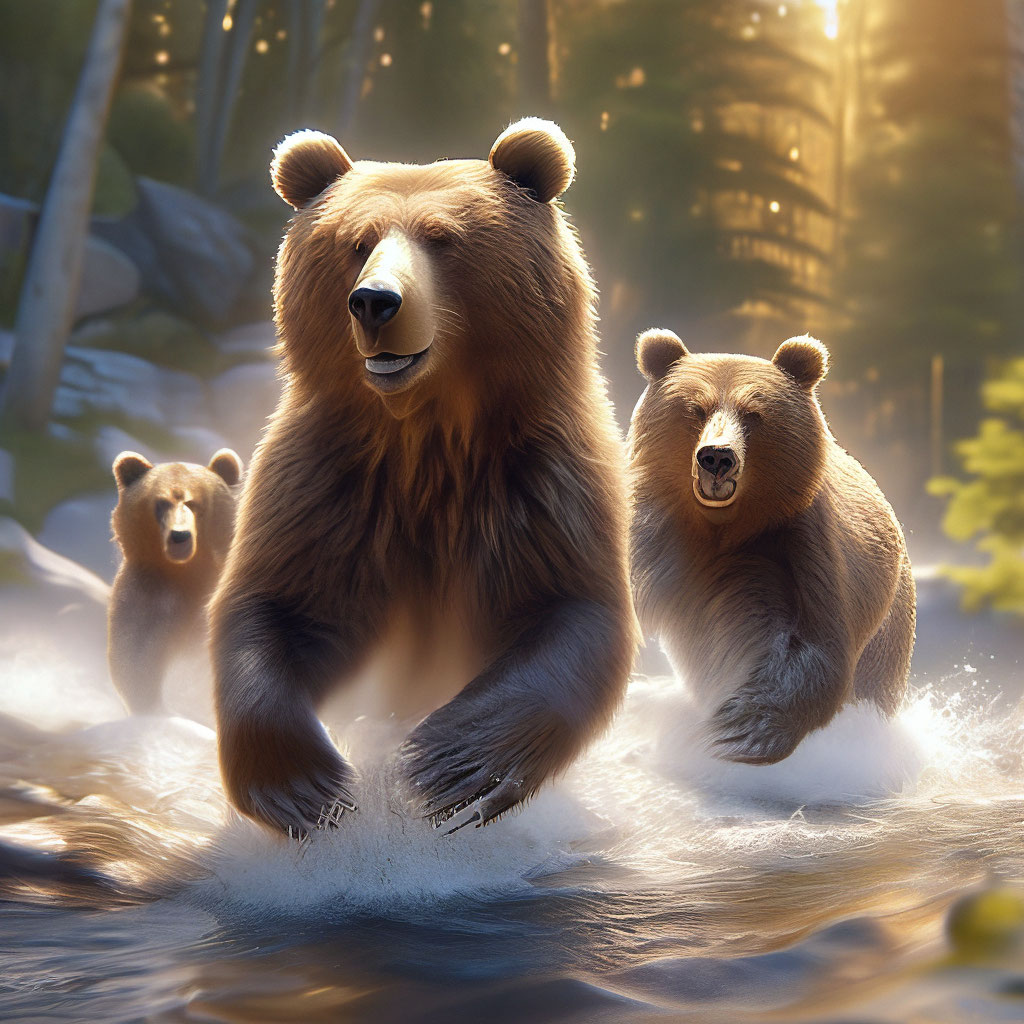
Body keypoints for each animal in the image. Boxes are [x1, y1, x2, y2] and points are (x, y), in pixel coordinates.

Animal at [209, 118, 638, 836]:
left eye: (443, 238)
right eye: (356, 242)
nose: (375, 301)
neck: (426, 438)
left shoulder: (540, 486)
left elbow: (572, 613)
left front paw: (445, 767)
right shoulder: (332, 487)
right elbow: (277, 609)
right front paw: (306, 787)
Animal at [628, 329, 915, 765]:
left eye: (754, 413)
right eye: (694, 409)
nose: (717, 458)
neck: (724, 528)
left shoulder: (803, 545)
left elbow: (815, 644)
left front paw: (736, 730)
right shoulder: (653, 544)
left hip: (889, 632)